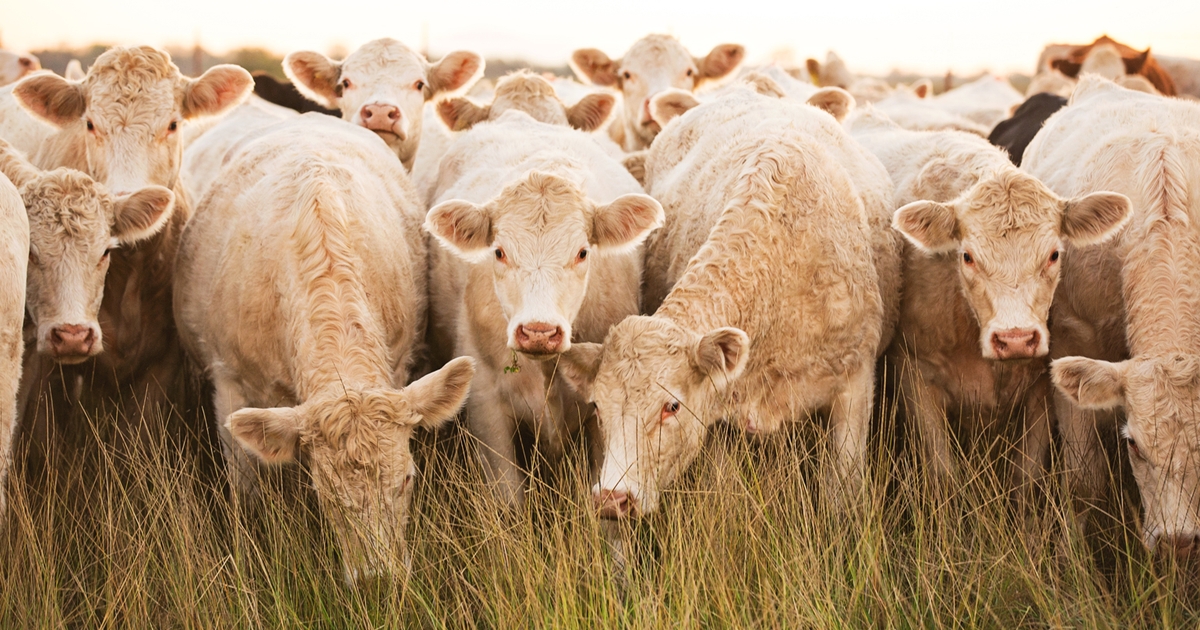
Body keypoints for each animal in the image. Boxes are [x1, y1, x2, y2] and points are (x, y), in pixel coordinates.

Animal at [559, 84, 893, 519]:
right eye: (597, 406)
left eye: (672, 407)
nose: (614, 498)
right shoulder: (720, 418)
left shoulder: (855, 387)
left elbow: (843, 493)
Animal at [846, 108, 1130, 486]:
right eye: (967, 256)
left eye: (1054, 254)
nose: (1015, 339)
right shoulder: (915, 374)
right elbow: (942, 473)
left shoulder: (1041, 390)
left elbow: (1026, 476)